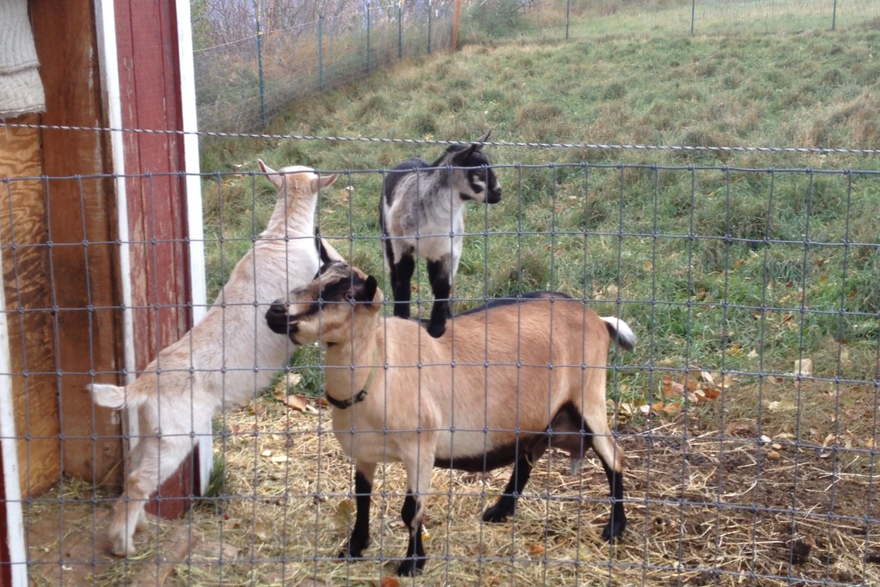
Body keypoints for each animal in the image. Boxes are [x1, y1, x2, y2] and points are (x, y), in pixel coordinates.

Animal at [87, 162, 338, 556]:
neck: (281, 233)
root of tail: (141, 385)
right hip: (177, 436)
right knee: (140, 481)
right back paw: (122, 545)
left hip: (154, 431)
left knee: (132, 469)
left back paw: (137, 527)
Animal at [265, 262, 635, 576]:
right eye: (316, 276)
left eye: (349, 295)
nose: (276, 312)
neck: (378, 367)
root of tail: (598, 320)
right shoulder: (363, 452)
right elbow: (362, 498)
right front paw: (354, 549)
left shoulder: (419, 449)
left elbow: (411, 510)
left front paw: (412, 564)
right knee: (529, 454)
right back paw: (499, 511)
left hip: (589, 395)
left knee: (613, 456)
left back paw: (614, 528)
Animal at [379, 132, 502, 339]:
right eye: (478, 171)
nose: (499, 192)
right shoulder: (400, 243)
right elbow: (404, 276)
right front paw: (402, 317)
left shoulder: (450, 250)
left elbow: (443, 284)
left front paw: (438, 328)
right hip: (387, 238)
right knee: (394, 274)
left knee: (432, 277)